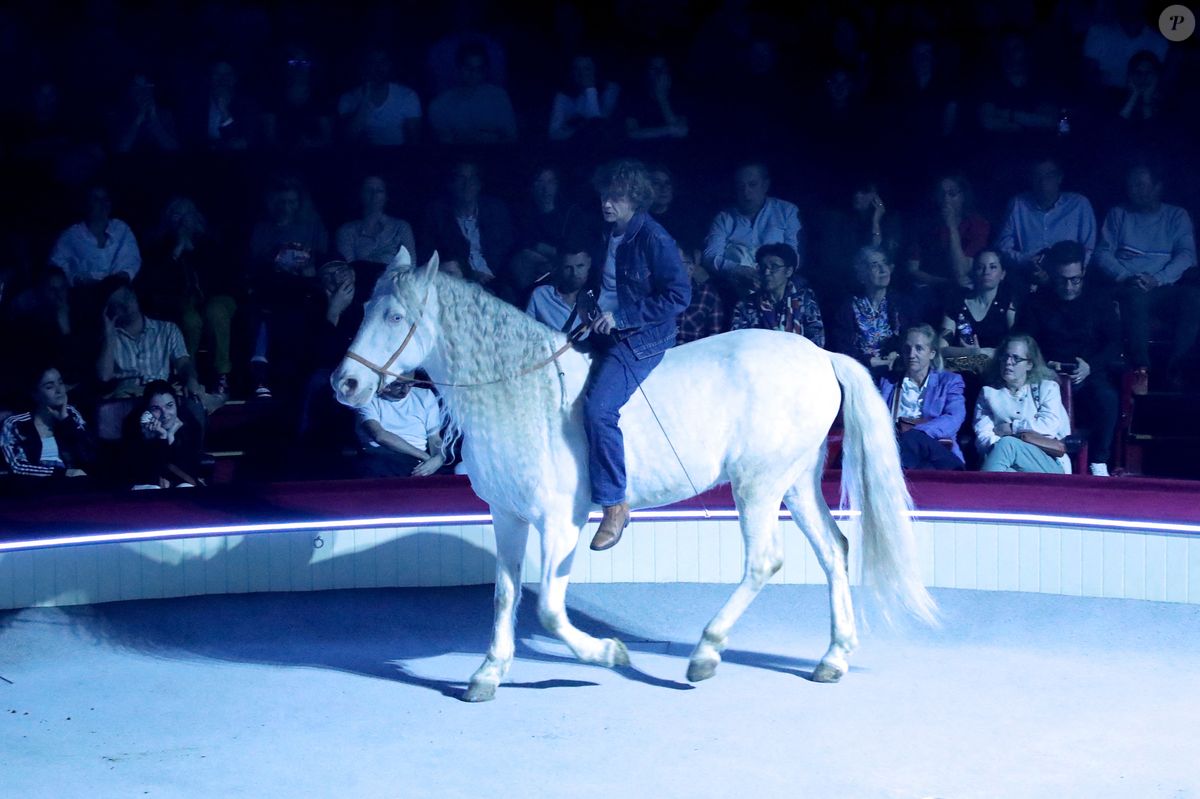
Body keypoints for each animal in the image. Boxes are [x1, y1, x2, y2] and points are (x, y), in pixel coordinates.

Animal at [332, 248, 936, 702]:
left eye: (394, 317)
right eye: (364, 309)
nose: (346, 385)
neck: (520, 391)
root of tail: (820, 354)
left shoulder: (561, 521)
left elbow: (549, 610)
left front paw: (608, 653)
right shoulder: (507, 516)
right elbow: (505, 596)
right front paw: (487, 674)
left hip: (759, 483)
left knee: (765, 560)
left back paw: (706, 653)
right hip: (796, 479)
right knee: (834, 551)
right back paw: (833, 658)